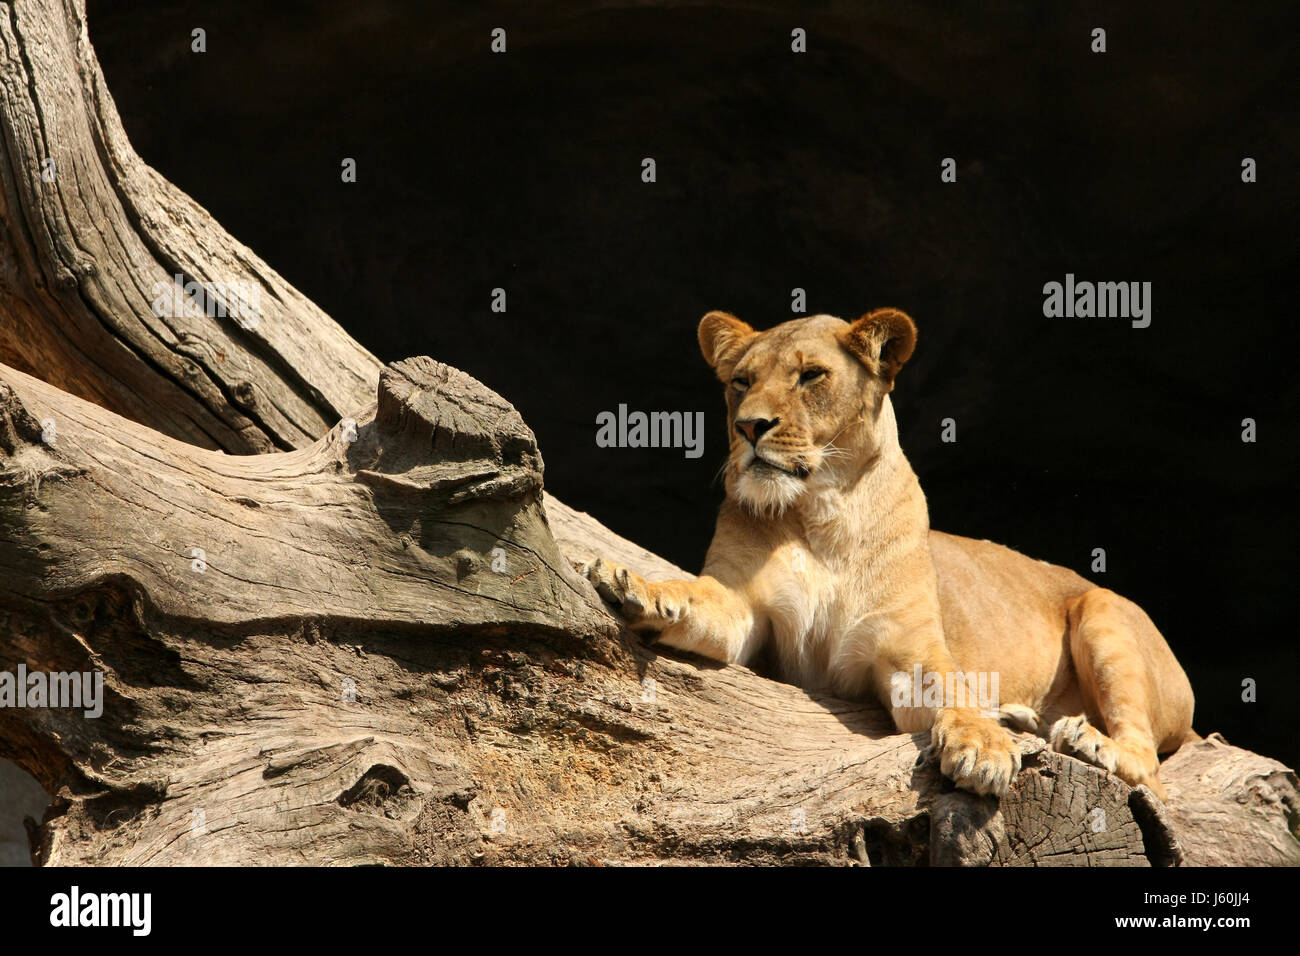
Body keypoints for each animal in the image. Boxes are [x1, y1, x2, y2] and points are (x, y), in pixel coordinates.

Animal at [583, 308, 1195, 800]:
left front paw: (983, 747)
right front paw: (631, 586)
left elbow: (953, 688)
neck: (823, 512)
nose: (749, 426)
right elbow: (690, 597)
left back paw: (1083, 741)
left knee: (1150, 766)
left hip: (1105, 613)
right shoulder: (742, 609)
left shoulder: (908, 649)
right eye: (741, 381)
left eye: (811, 375)